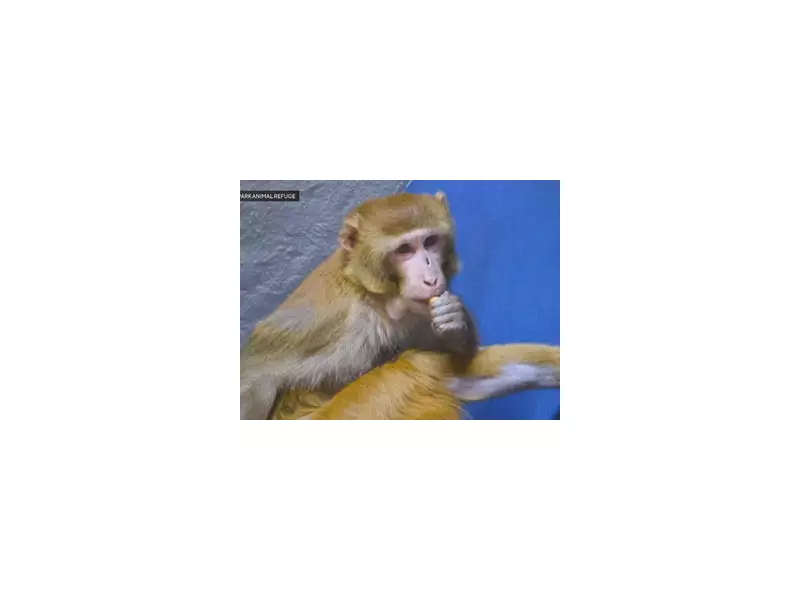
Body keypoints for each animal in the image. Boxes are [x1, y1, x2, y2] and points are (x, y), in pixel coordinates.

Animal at [241, 191, 481, 420]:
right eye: (404, 249)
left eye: (430, 241)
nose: (430, 279)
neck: (376, 299)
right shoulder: (326, 323)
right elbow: (253, 376)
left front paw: (455, 317)